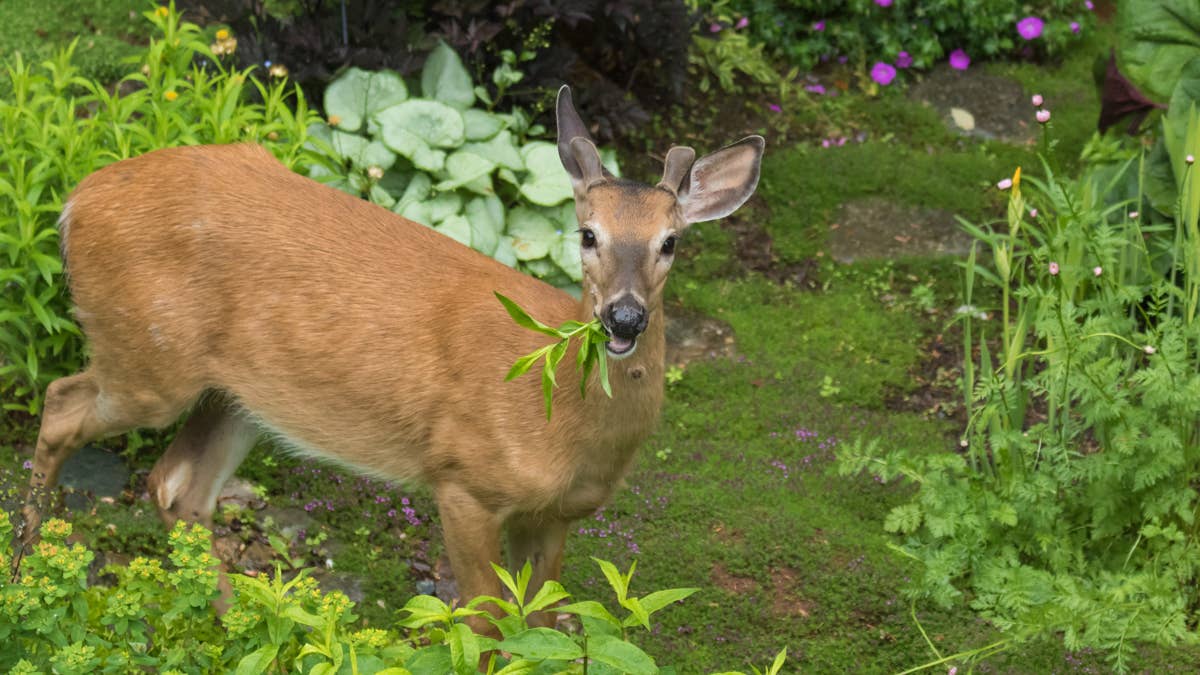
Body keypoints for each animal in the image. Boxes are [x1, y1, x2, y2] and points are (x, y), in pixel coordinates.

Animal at [15, 85, 764, 633]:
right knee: (61, 404)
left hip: (239, 395)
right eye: (588, 234)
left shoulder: (554, 515)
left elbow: (541, 623)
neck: (565, 421)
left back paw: (246, 628)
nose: (624, 317)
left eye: (670, 241)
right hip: (147, 358)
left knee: (177, 486)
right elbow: (485, 623)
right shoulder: (464, 479)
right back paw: (27, 566)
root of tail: (75, 200)